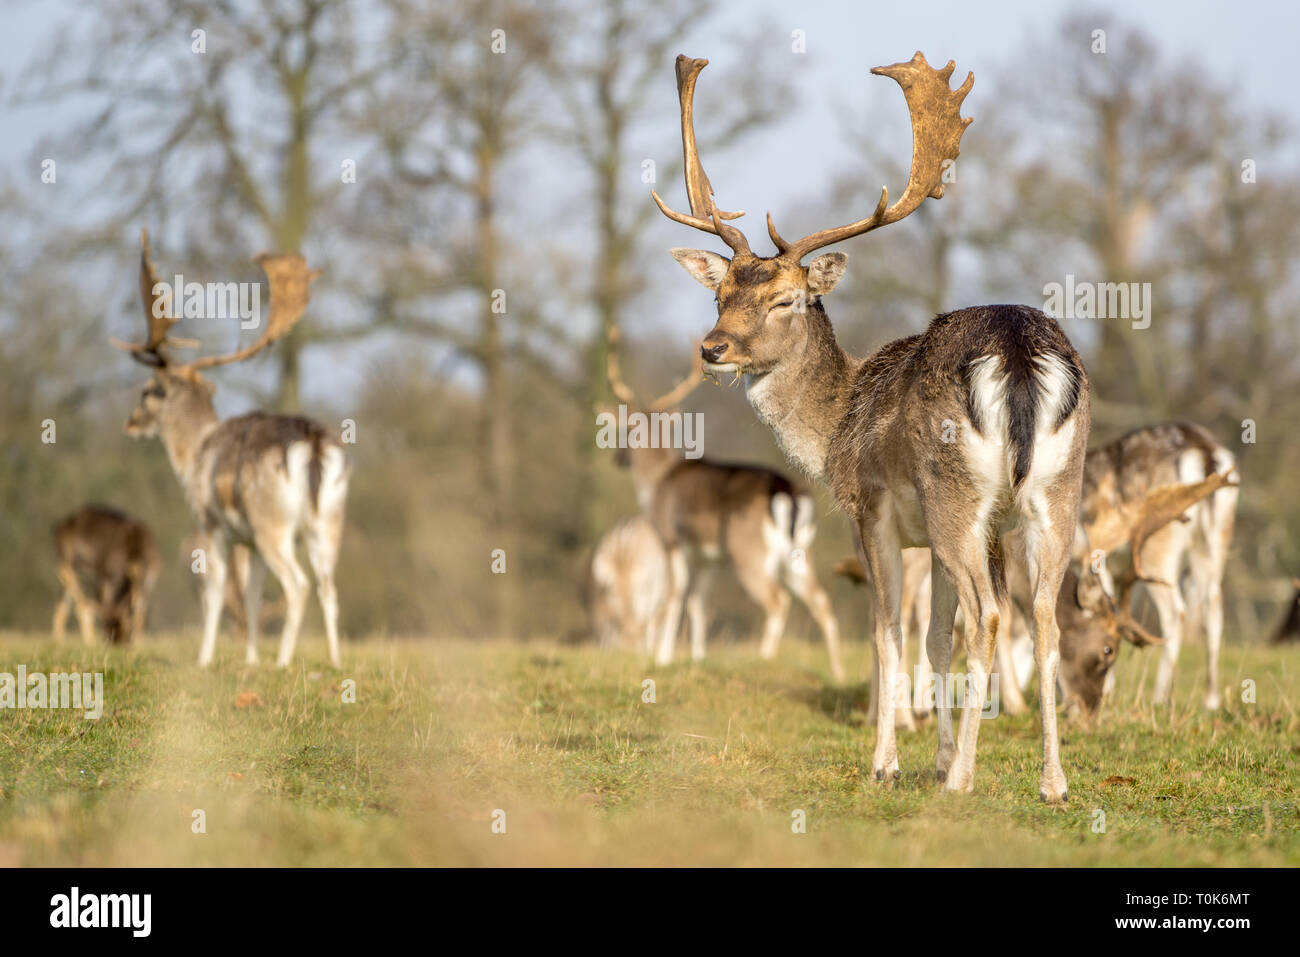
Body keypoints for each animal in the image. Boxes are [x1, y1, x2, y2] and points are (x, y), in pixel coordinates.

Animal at [52, 504, 160, 645]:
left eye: (123, 626)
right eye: (109, 625)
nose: (114, 642)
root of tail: (62, 526)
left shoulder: (148, 580)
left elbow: (140, 609)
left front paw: (139, 642)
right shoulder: (108, 576)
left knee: (63, 605)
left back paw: (60, 640)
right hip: (68, 563)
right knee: (78, 602)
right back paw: (86, 641)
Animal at [114, 230, 349, 669]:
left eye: (148, 391)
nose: (130, 422)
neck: (193, 454)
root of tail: (312, 443)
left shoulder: (213, 524)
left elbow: (216, 591)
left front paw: (205, 660)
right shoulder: (249, 542)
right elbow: (253, 596)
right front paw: (250, 660)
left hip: (272, 521)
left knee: (298, 586)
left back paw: (284, 662)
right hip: (328, 523)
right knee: (328, 587)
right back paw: (335, 661)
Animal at [604, 323, 846, 682]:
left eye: (626, 430)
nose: (618, 458)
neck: (657, 484)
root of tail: (786, 491)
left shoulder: (672, 539)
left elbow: (675, 597)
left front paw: (662, 659)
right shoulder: (710, 558)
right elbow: (698, 603)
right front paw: (697, 659)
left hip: (748, 550)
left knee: (777, 601)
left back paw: (764, 659)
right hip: (799, 553)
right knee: (822, 601)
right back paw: (839, 674)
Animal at [654, 51, 1092, 802]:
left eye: (788, 299)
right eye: (719, 294)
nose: (713, 348)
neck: (836, 422)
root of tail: (1017, 349)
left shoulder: (872, 508)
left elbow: (888, 631)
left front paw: (890, 762)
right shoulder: (958, 533)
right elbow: (937, 637)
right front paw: (935, 755)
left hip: (955, 494)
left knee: (989, 615)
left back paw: (964, 781)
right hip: (1055, 491)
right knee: (1041, 615)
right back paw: (1053, 782)